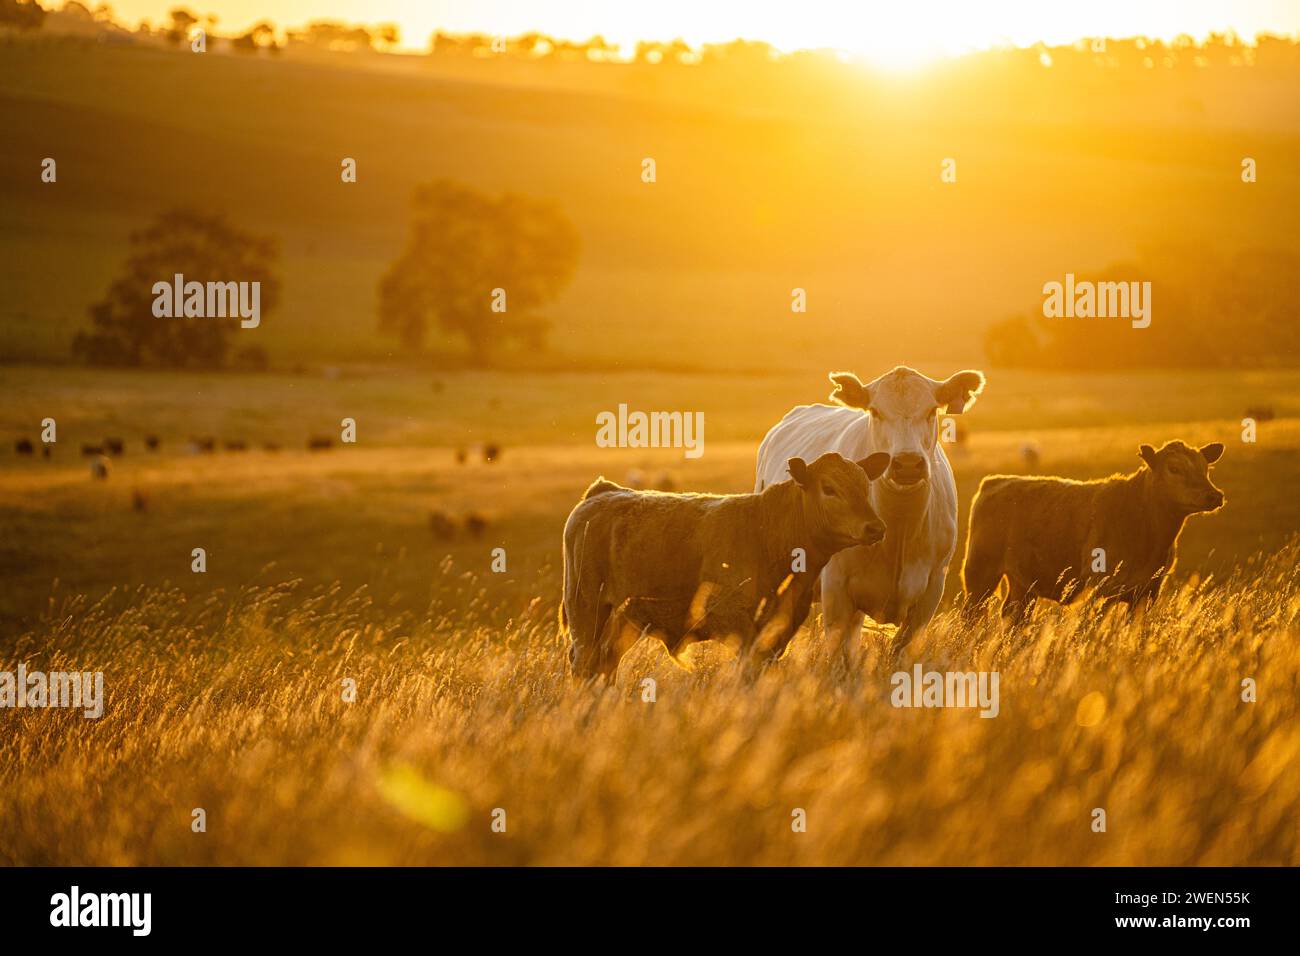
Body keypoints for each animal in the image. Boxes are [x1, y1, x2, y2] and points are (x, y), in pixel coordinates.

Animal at [561, 451, 891, 680]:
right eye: (829, 488)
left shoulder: (776, 635)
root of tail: (604, 491)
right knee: (584, 663)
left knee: (605, 663)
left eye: (865, 486)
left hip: (624, 619)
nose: (875, 527)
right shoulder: (740, 629)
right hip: (586, 609)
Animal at [755, 366, 986, 667]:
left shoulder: (932, 589)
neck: (900, 526)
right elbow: (836, 656)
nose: (907, 464)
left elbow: (899, 651)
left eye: (932, 410)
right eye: (875, 411)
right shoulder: (836, 589)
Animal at [962, 440, 1226, 622]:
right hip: (979, 575)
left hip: (1022, 584)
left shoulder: (1148, 591)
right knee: (972, 614)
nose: (1214, 495)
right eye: (1174, 468)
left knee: (1013, 615)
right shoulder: (1102, 588)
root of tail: (995, 481)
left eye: (1206, 468)